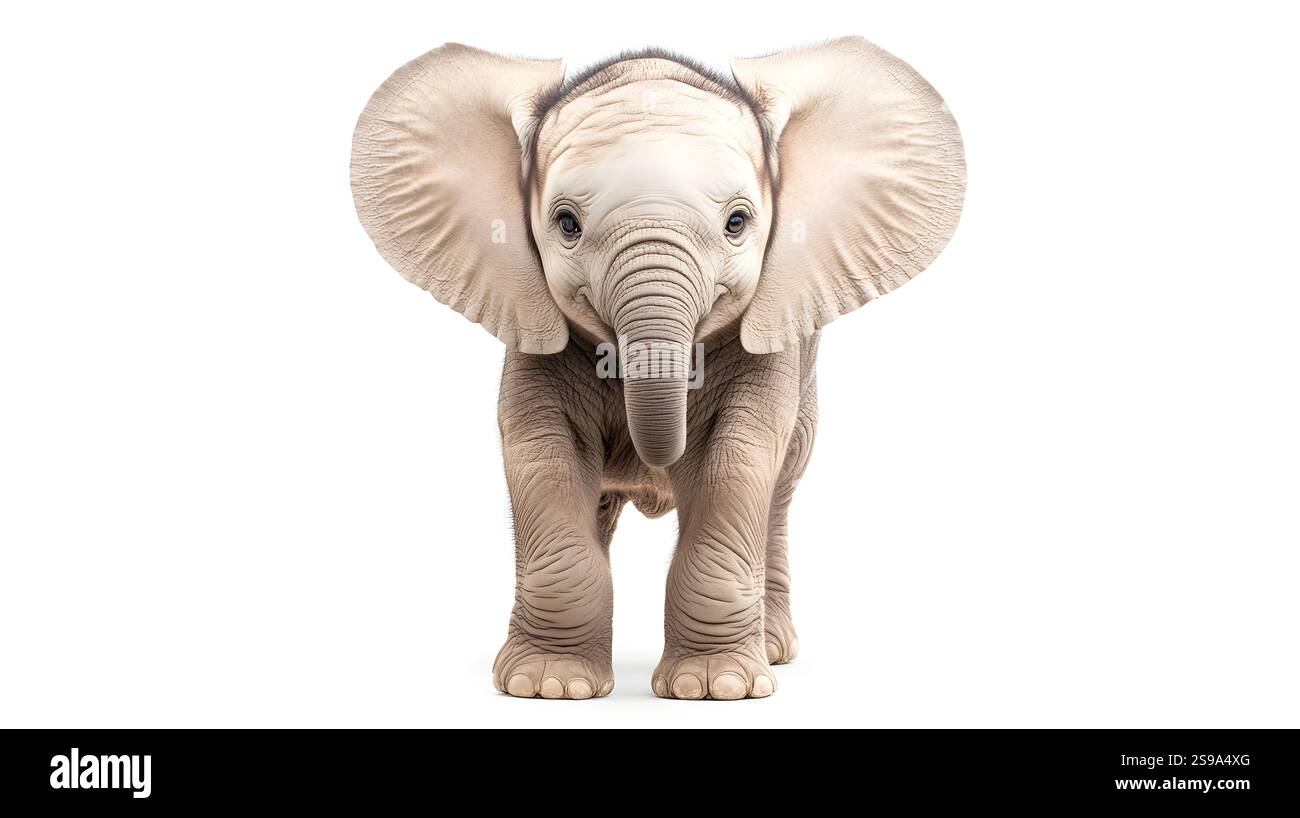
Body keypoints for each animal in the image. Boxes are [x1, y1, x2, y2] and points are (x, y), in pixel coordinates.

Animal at [350, 37, 965, 699]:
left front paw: (716, 689)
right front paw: (549, 686)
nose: (652, 462)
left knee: (779, 490)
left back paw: (773, 650)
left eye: (738, 222)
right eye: (566, 223)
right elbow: (542, 455)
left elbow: (736, 460)